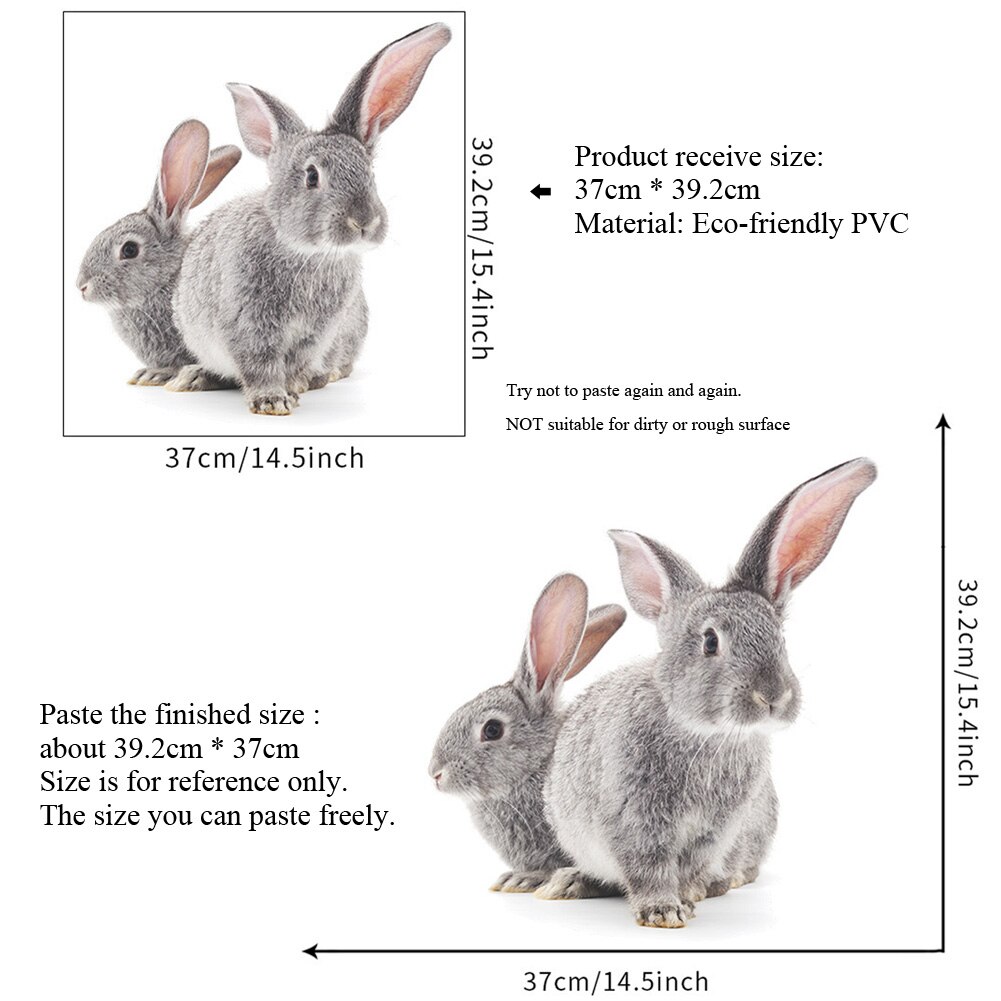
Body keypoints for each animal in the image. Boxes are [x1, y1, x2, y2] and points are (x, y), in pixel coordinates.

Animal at [166, 22, 452, 415]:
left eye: (370, 174)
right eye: (312, 177)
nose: (364, 221)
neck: (310, 254)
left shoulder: (315, 334)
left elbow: (295, 363)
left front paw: (294, 388)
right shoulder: (248, 324)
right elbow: (260, 363)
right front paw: (272, 400)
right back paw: (194, 377)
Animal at [538, 458, 877, 927]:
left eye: (780, 639)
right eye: (711, 642)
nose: (772, 696)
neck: (708, 734)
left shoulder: (714, 830)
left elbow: (690, 866)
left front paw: (688, 897)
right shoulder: (634, 820)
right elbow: (648, 866)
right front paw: (662, 911)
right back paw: (570, 882)